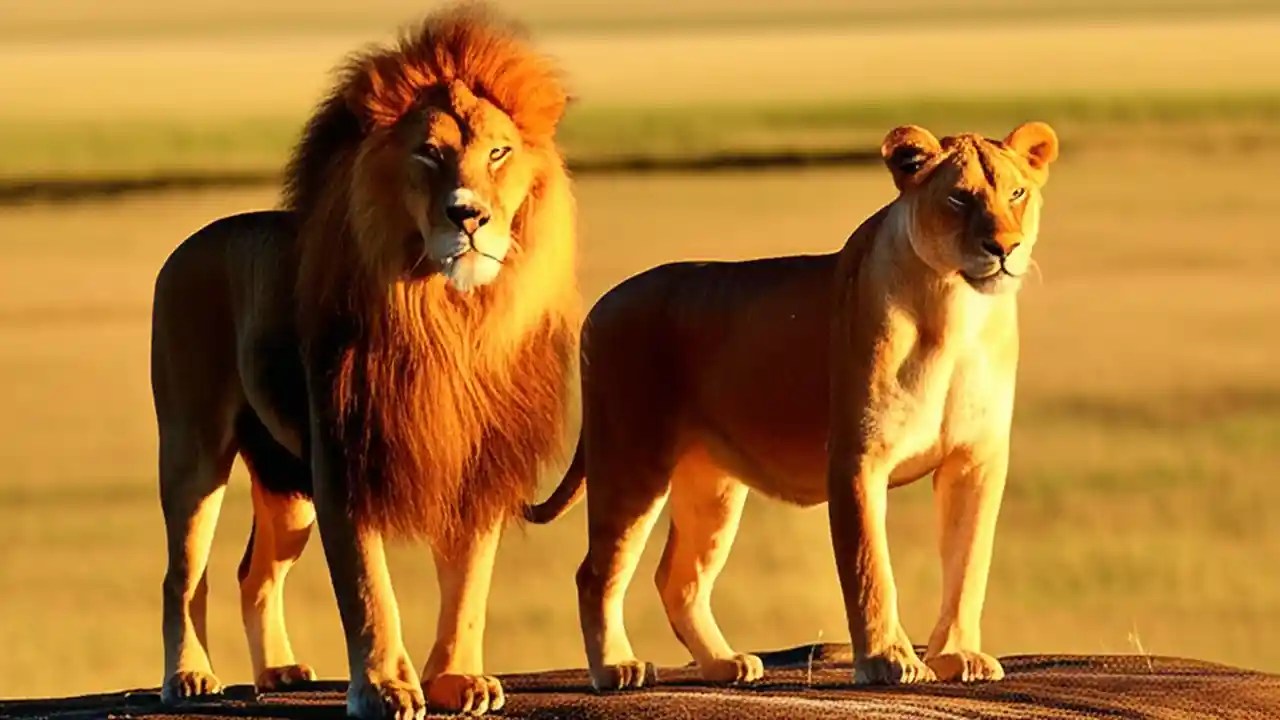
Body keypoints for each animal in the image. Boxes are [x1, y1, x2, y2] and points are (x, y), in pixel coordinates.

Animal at [151, 8, 579, 718]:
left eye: (497, 152)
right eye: (428, 152)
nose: (468, 215)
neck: (449, 317)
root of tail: (192, 242)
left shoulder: (475, 459)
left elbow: (469, 583)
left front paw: (457, 679)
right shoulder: (345, 456)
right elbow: (368, 588)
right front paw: (384, 688)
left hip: (288, 484)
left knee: (252, 572)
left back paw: (280, 672)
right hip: (193, 450)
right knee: (183, 576)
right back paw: (188, 676)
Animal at [527, 122, 1059, 690]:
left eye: (1016, 194)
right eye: (959, 198)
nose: (1004, 247)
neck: (956, 310)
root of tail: (602, 305)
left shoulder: (975, 461)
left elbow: (968, 564)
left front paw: (959, 655)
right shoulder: (856, 458)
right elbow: (870, 568)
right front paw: (887, 660)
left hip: (711, 486)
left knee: (677, 578)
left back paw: (725, 663)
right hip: (630, 462)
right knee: (597, 572)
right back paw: (616, 667)